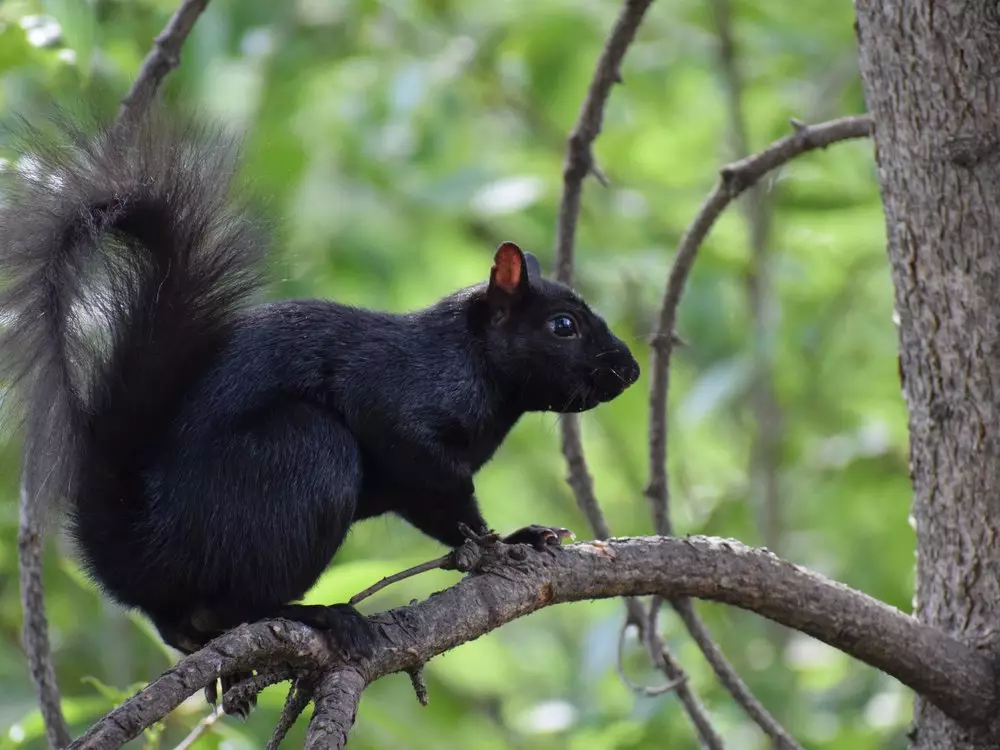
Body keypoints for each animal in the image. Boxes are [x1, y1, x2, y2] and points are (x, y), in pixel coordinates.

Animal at [0, 114, 640, 712]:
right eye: (563, 325)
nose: (630, 371)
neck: (471, 362)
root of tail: (140, 546)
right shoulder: (397, 410)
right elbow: (444, 498)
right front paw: (498, 546)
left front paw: (522, 535)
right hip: (301, 452)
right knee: (237, 603)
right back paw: (317, 614)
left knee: (187, 627)